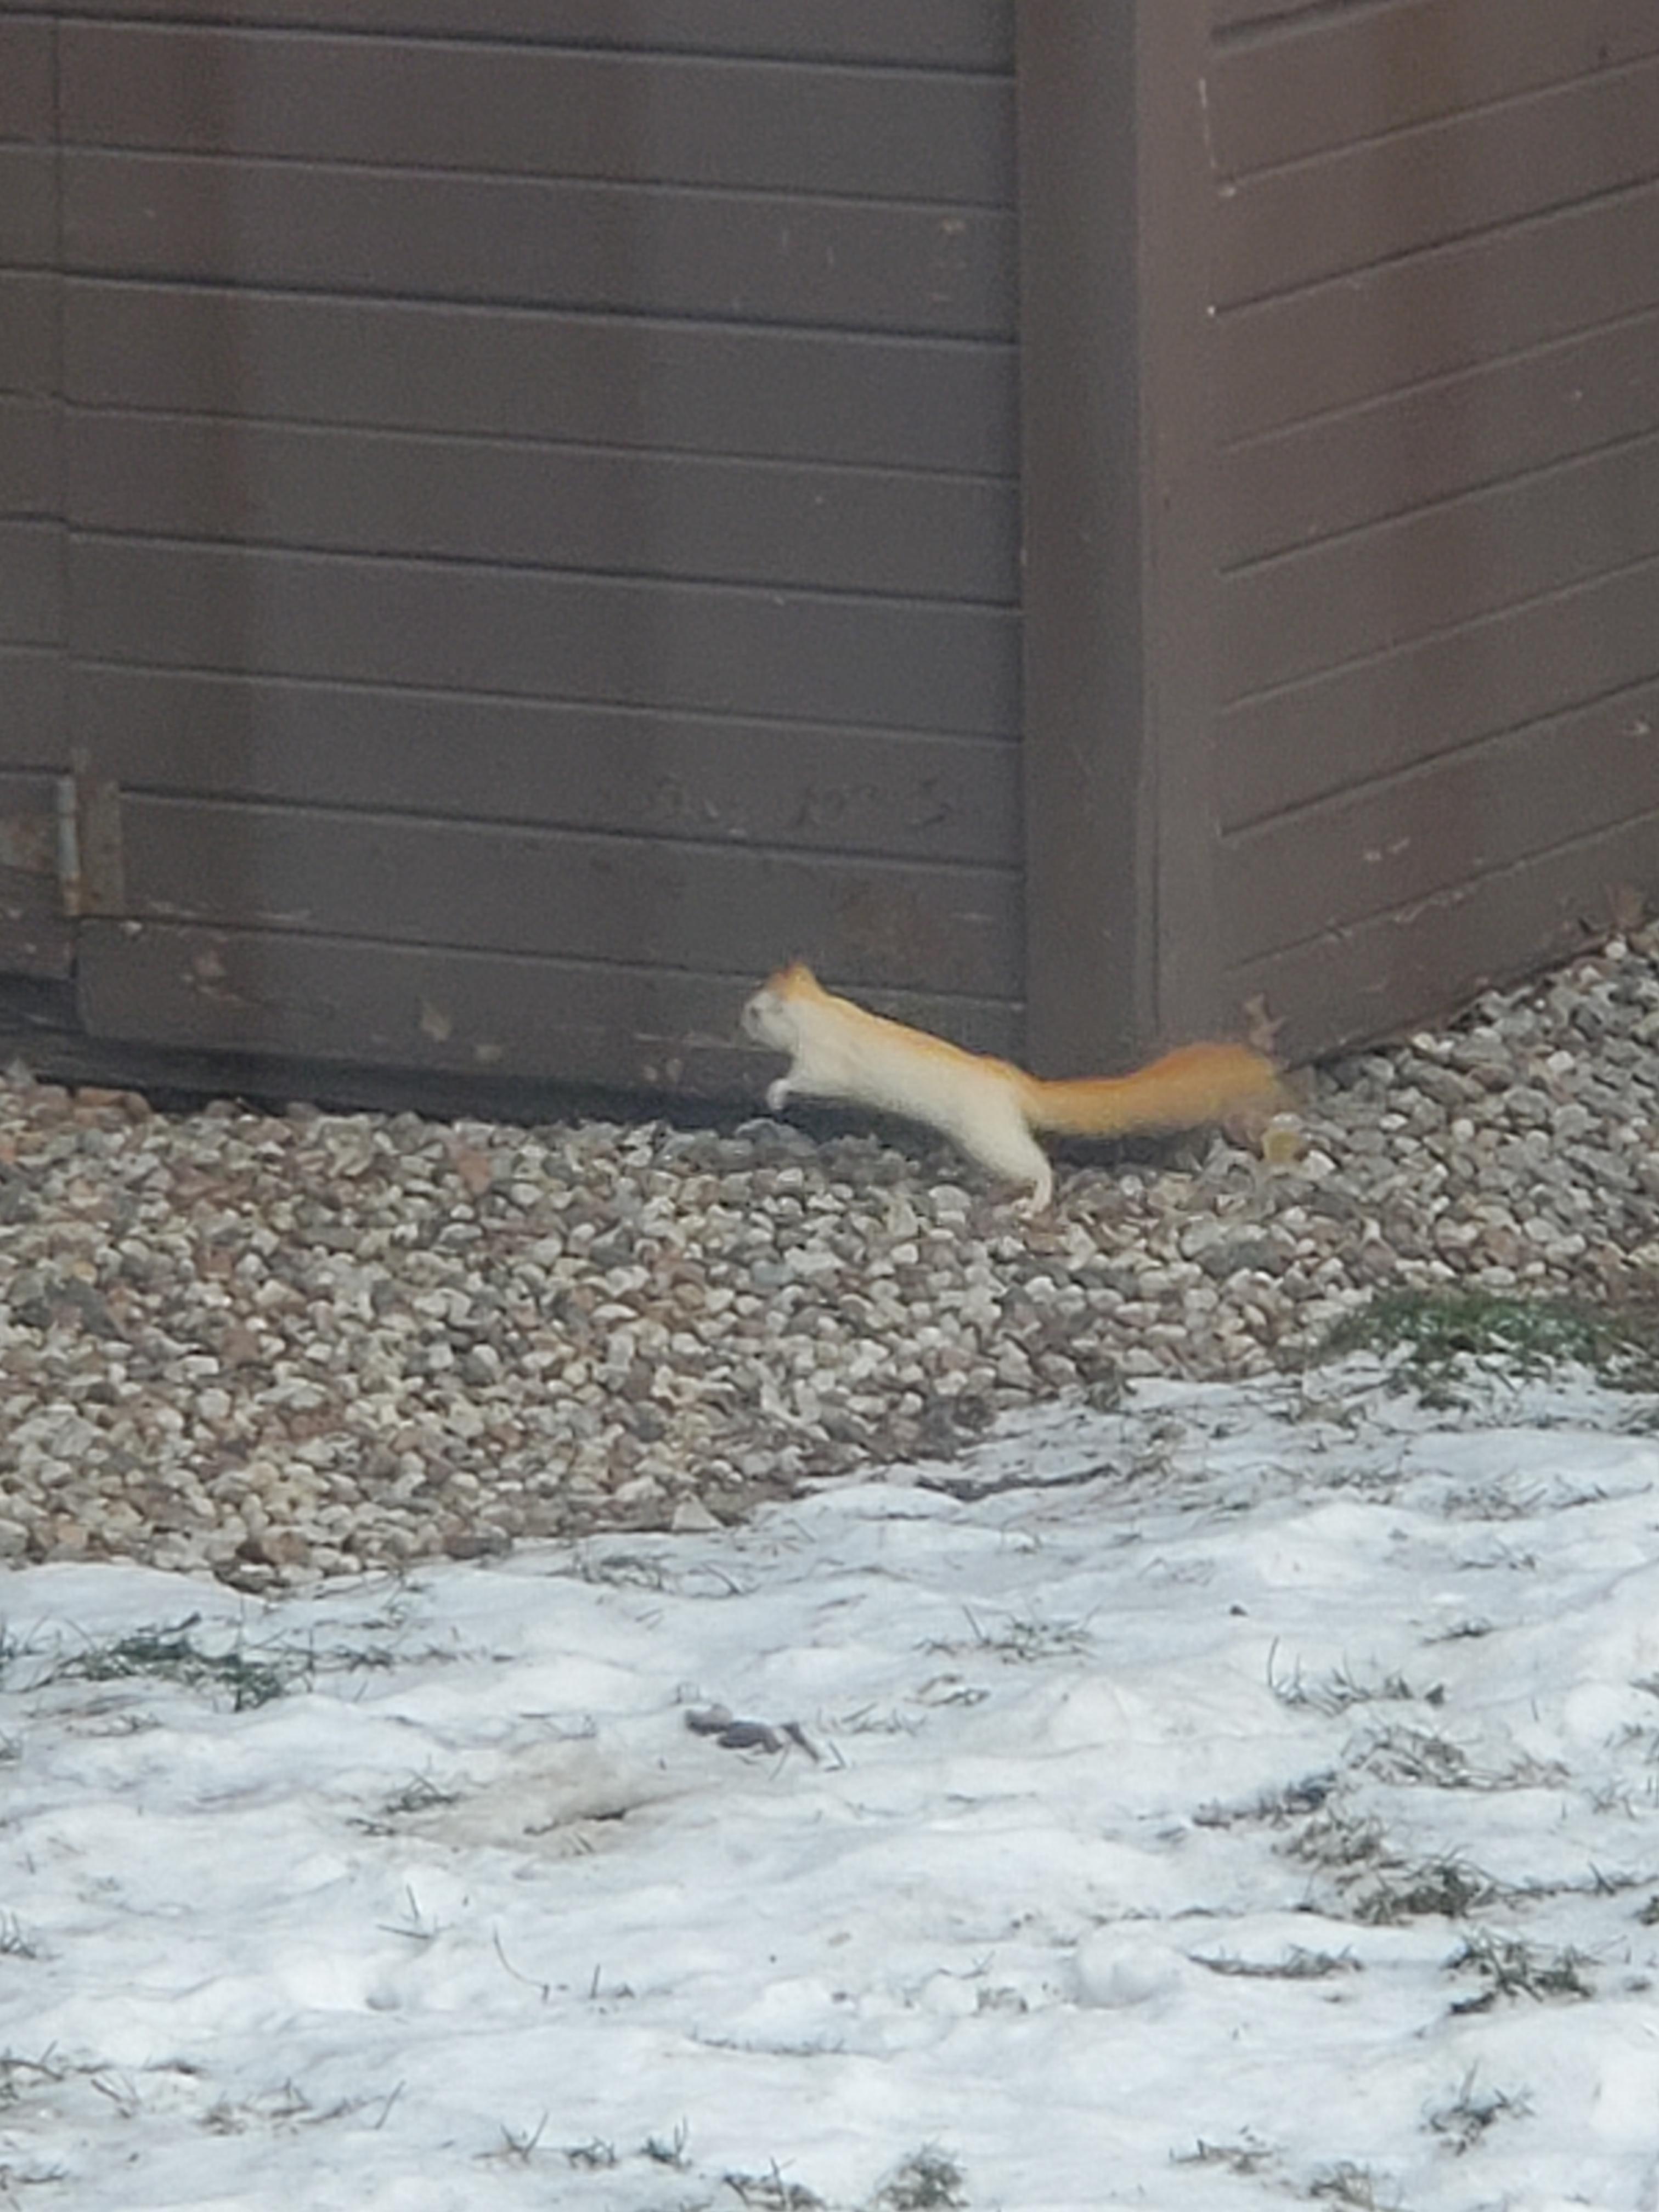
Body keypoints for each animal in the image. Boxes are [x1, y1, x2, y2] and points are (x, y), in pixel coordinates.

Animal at [741, 961, 1285, 1210]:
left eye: (754, 1011)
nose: (736, 1020)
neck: (821, 1013)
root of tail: (1018, 1088)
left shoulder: (824, 1061)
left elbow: (801, 1079)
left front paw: (774, 1094)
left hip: (989, 1136)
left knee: (1038, 1165)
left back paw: (1033, 1201)